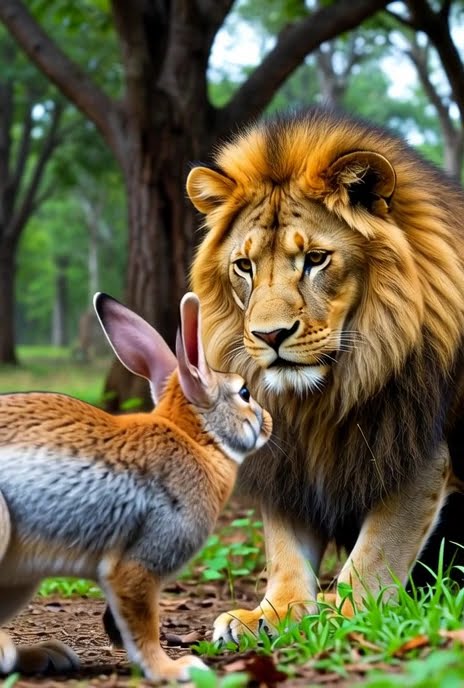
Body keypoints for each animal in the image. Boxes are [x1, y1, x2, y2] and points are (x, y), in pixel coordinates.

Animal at [0, 291, 272, 682]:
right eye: (245, 392)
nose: (269, 422)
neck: (196, 438)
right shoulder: (142, 559)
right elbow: (143, 624)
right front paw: (173, 668)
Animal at [186, 107, 464, 642]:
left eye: (315, 259)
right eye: (244, 266)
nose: (270, 335)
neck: (323, 396)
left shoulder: (418, 449)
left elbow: (378, 547)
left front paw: (350, 613)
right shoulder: (287, 458)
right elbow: (284, 548)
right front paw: (273, 613)